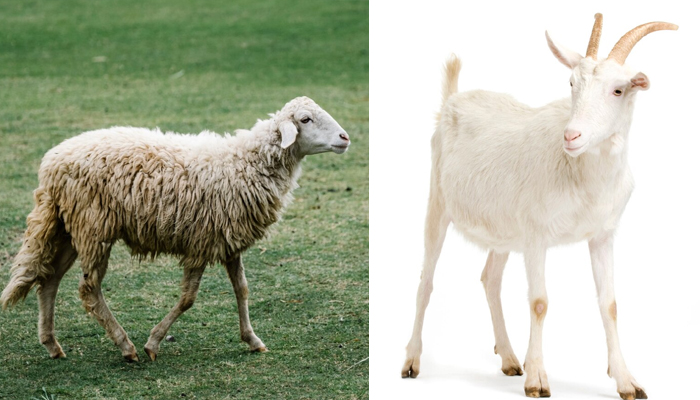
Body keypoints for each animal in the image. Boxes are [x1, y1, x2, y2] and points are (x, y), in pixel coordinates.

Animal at [0, 96, 350, 362]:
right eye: (305, 119)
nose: (345, 138)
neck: (245, 163)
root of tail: (50, 163)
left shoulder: (227, 240)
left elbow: (242, 289)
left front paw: (252, 339)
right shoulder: (201, 243)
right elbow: (188, 299)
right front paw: (153, 343)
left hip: (69, 227)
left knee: (49, 280)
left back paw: (52, 345)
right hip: (93, 226)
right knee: (88, 289)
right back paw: (126, 346)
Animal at [401, 14, 676, 400]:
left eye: (618, 90)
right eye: (572, 82)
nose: (571, 136)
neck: (581, 174)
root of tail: (452, 99)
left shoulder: (602, 235)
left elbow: (610, 304)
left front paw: (626, 381)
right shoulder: (535, 235)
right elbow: (539, 302)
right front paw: (538, 380)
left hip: (501, 229)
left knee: (490, 279)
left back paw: (509, 358)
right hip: (437, 203)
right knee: (426, 281)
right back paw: (412, 362)